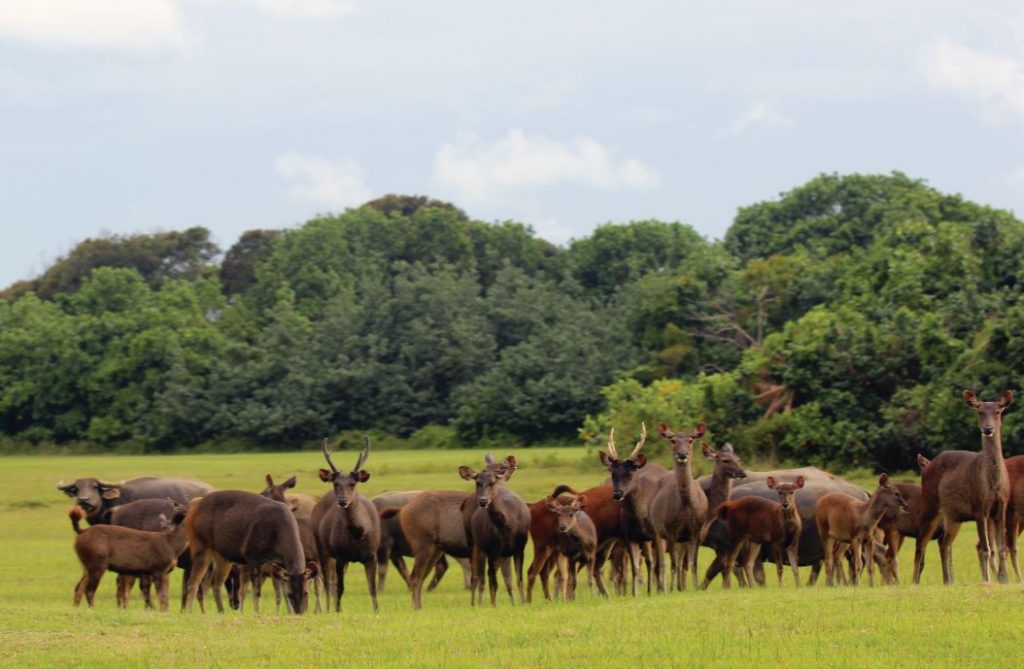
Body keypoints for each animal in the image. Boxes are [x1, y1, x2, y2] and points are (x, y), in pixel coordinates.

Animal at [183, 490, 312, 614]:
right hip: (200, 544)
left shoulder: (275, 565)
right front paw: (256, 613)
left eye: (306, 593)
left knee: (216, 584)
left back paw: (221, 611)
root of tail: (193, 507)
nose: (300, 612)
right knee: (193, 582)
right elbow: (256, 591)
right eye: (291, 595)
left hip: (223, 556)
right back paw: (189, 612)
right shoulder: (251, 556)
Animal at [312, 437, 381, 613]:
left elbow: (372, 588)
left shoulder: (372, 554)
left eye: (353, 484)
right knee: (328, 581)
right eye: (335, 483)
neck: (358, 534)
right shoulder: (340, 554)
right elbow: (340, 587)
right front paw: (336, 611)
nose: (342, 501)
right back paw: (328, 609)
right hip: (321, 547)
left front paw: (377, 611)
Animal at [461, 454, 530, 606]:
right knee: (477, 576)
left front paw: (523, 603)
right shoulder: (491, 550)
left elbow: (518, 579)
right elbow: (493, 582)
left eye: (492, 482)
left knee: (500, 576)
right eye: (477, 482)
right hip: (473, 541)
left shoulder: (519, 549)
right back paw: (475, 603)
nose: (483, 501)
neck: (507, 525)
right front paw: (493, 606)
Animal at [648, 422, 709, 592]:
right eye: (673, 440)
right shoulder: (670, 530)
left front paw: (696, 588)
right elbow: (673, 564)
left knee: (680, 561)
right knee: (663, 562)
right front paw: (671, 590)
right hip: (656, 529)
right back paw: (665, 589)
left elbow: (693, 563)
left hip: (682, 538)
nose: (682, 454)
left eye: (691, 440)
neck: (687, 507)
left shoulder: (696, 531)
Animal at [913, 390, 1013, 585]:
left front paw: (1004, 580)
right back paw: (915, 582)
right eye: (980, 411)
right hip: (930, 503)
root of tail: (926, 467)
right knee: (920, 544)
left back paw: (948, 581)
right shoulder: (979, 506)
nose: (988, 429)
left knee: (944, 543)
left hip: (954, 516)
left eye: (998, 412)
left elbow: (1001, 548)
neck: (993, 484)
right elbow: (985, 549)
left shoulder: (1001, 506)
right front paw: (987, 580)